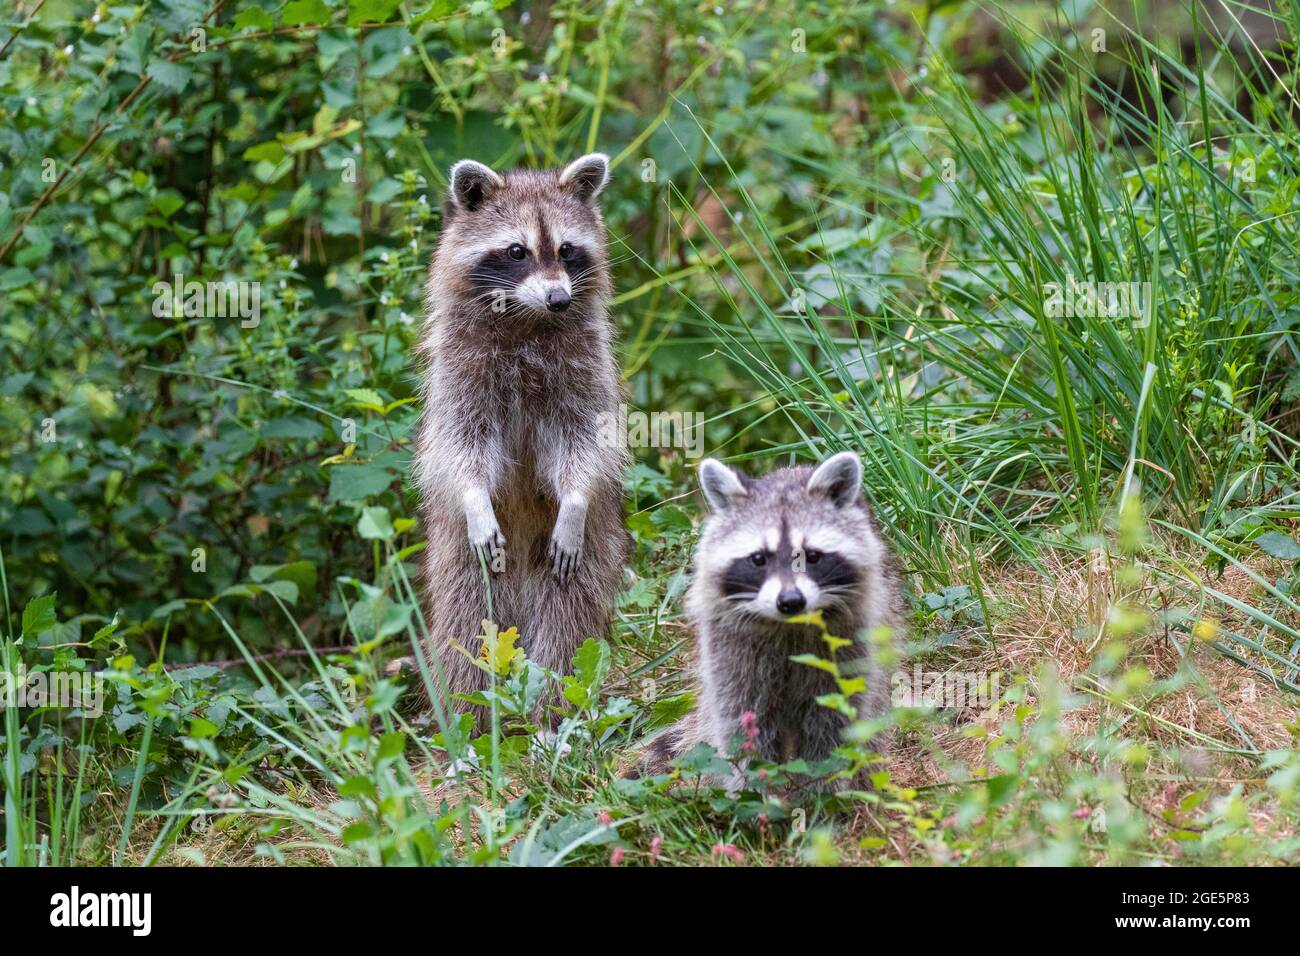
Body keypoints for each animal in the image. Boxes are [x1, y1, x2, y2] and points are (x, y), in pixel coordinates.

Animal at [413, 153, 628, 727]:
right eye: (516, 251)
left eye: (567, 249)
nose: (559, 298)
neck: (525, 317)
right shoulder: (460, 373)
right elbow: (461, 446)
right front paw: (474, 496)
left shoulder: (583, 369)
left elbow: (585, 443)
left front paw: (575, 499)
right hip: (455, 552)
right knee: (468, 623)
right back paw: (469, 721)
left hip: (597, 546)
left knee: (570, 621)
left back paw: (554, 714)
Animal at [642, 452, 901, 787]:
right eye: (758, 559)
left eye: (812, 556)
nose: (790, 602)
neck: (788, 626)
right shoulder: (730, 649)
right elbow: (741, 722)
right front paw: (753, 789)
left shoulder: (847, 641)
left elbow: (833, 723)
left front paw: (822, 790)